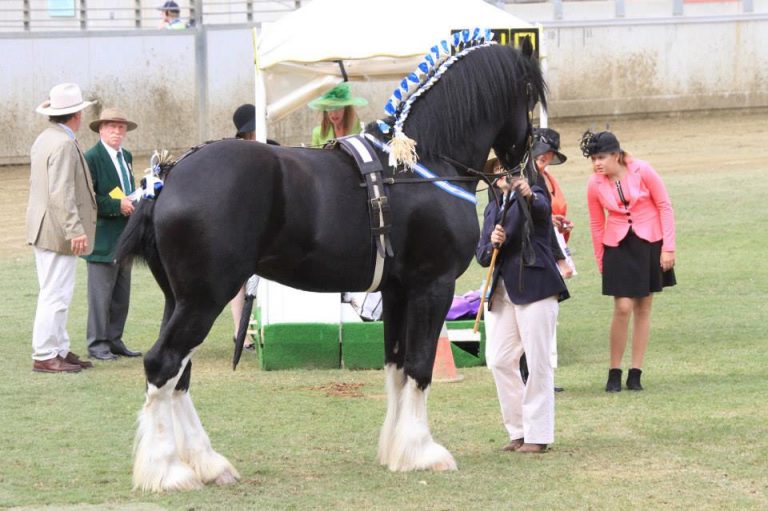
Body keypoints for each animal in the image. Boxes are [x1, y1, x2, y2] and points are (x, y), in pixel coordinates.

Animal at [117, 37, 546, 492]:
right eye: (530, 96)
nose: (528, 169)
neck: (420, 164)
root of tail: (168, 176)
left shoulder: (397, 292)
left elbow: (395, 365)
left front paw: (396, 452)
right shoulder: (433, 286)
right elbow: (419, 366)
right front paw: (423, 452)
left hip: (178, 300)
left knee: (178, 376)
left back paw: (208, 464)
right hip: (204, 299)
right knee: (162, 364)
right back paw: (167, 470)